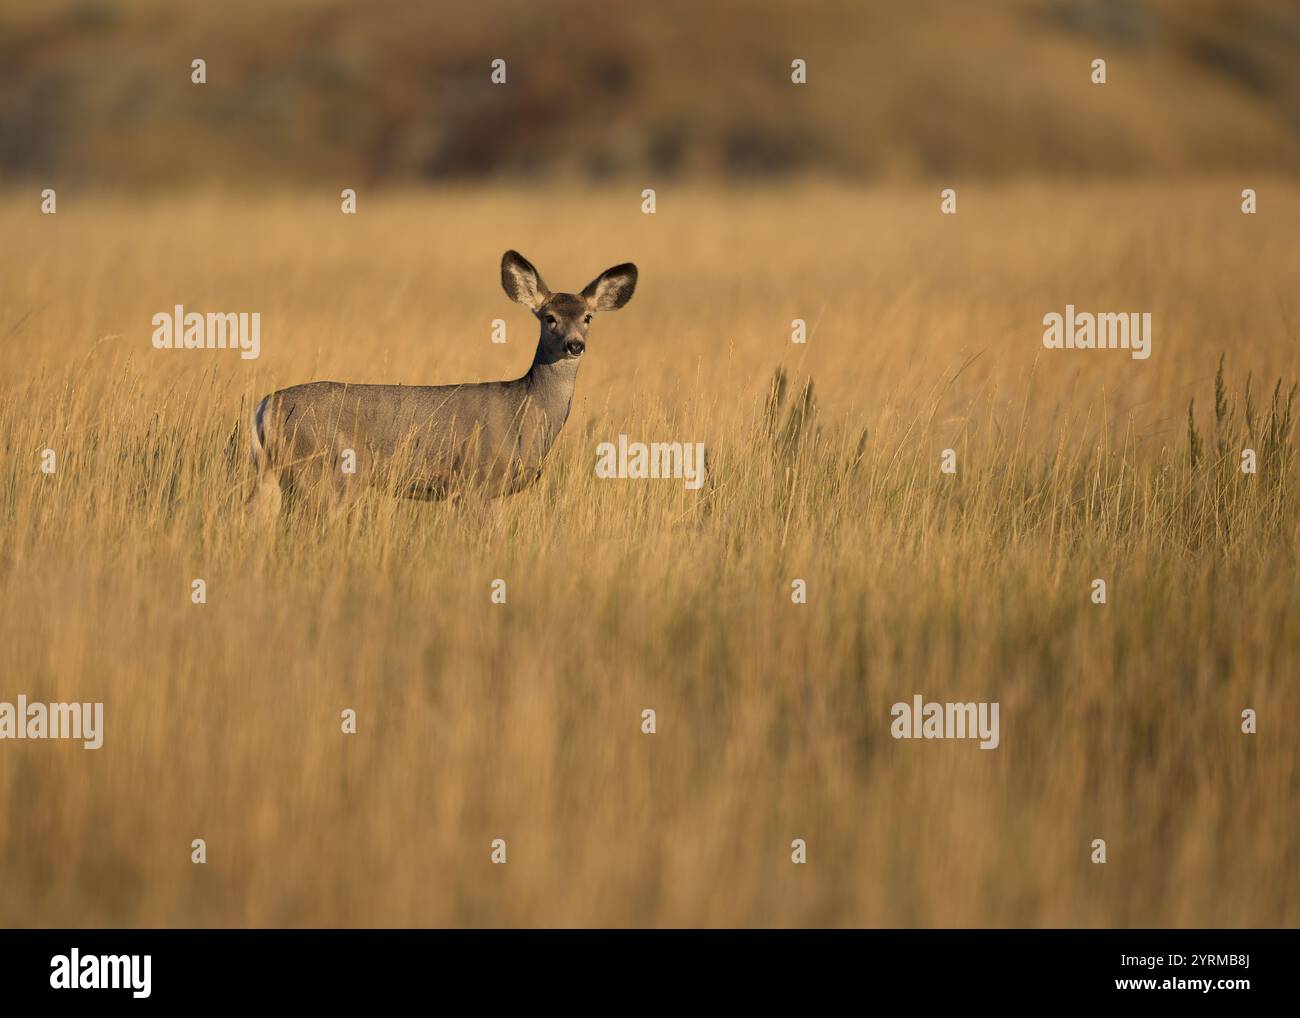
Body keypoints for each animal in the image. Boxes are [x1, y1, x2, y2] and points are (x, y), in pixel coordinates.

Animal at [247, 250, 637, 519]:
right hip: (327, 472)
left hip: (273, 474)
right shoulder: (476, 481)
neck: (524, 409)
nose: (575, 345)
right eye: (549, 317)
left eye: (588, 317)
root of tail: (264, 407)